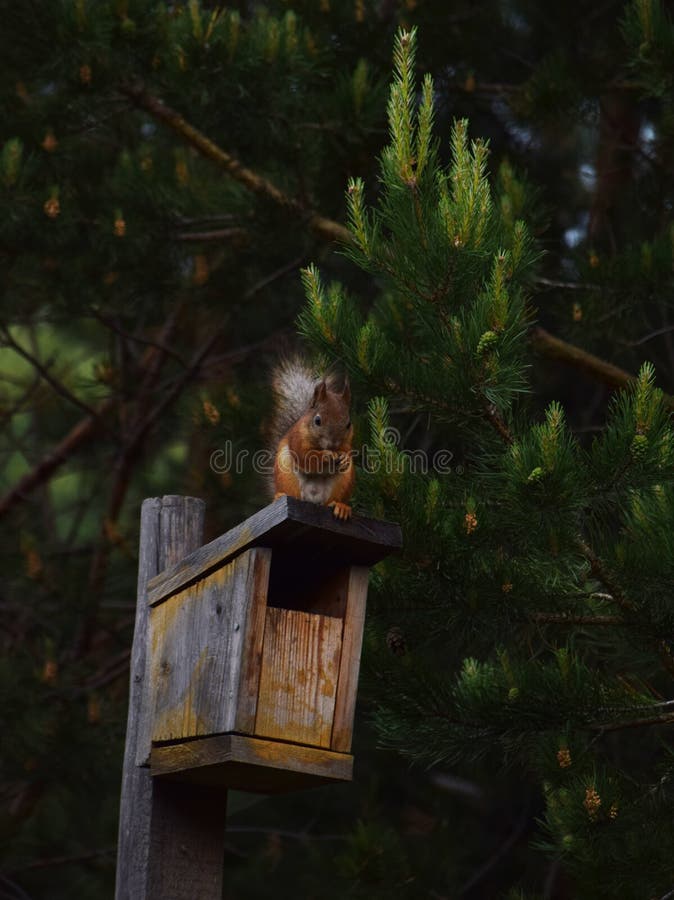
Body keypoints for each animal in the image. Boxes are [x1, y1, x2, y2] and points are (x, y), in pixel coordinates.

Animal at [270, 358, 355, 521]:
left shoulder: (347, 443)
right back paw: (279, 496)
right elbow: (305, 457)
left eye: (348, 424)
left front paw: (345, 458)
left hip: (343, 482)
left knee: (333, 500)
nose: (333, 444)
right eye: (317, 420)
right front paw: (326, 456)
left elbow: (347, 452)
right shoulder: (297, 438)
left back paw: (341, 507)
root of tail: (313, 499)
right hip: (286, 475)